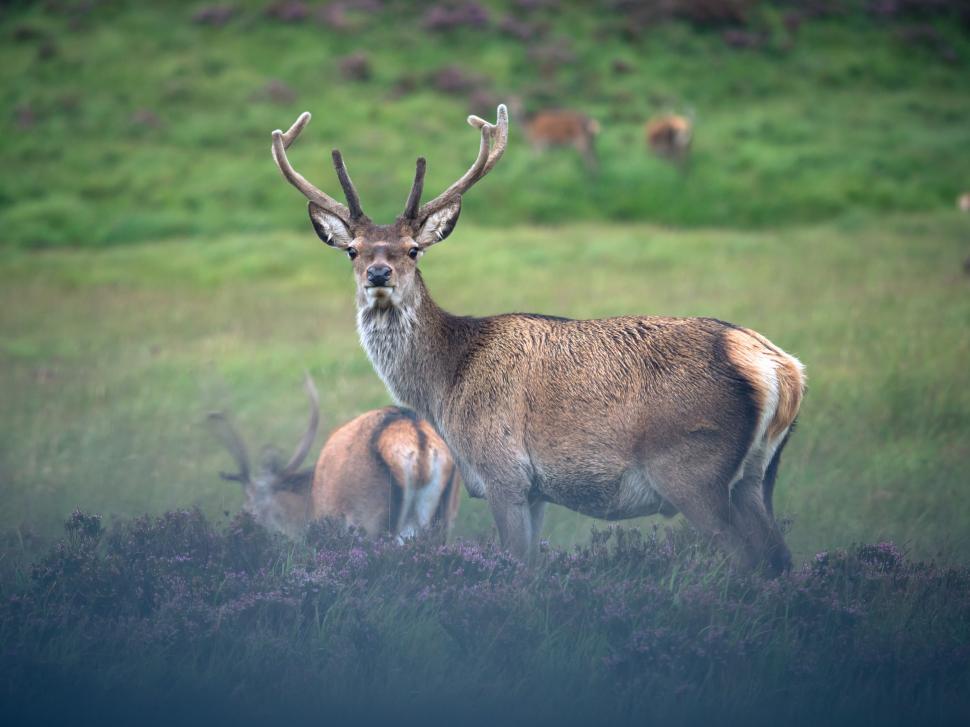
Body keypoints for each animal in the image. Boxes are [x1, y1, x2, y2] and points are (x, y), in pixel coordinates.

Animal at [269, 104, 805, 575]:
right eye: (353, 250)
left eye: (414, 249)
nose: (379, 274)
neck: (446, 385)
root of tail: (781, 369)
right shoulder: (536, 490)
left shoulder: (503, 472)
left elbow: (518, 566)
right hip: (759, 474)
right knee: (778, 557)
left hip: (693, 468)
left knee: (746, 556)